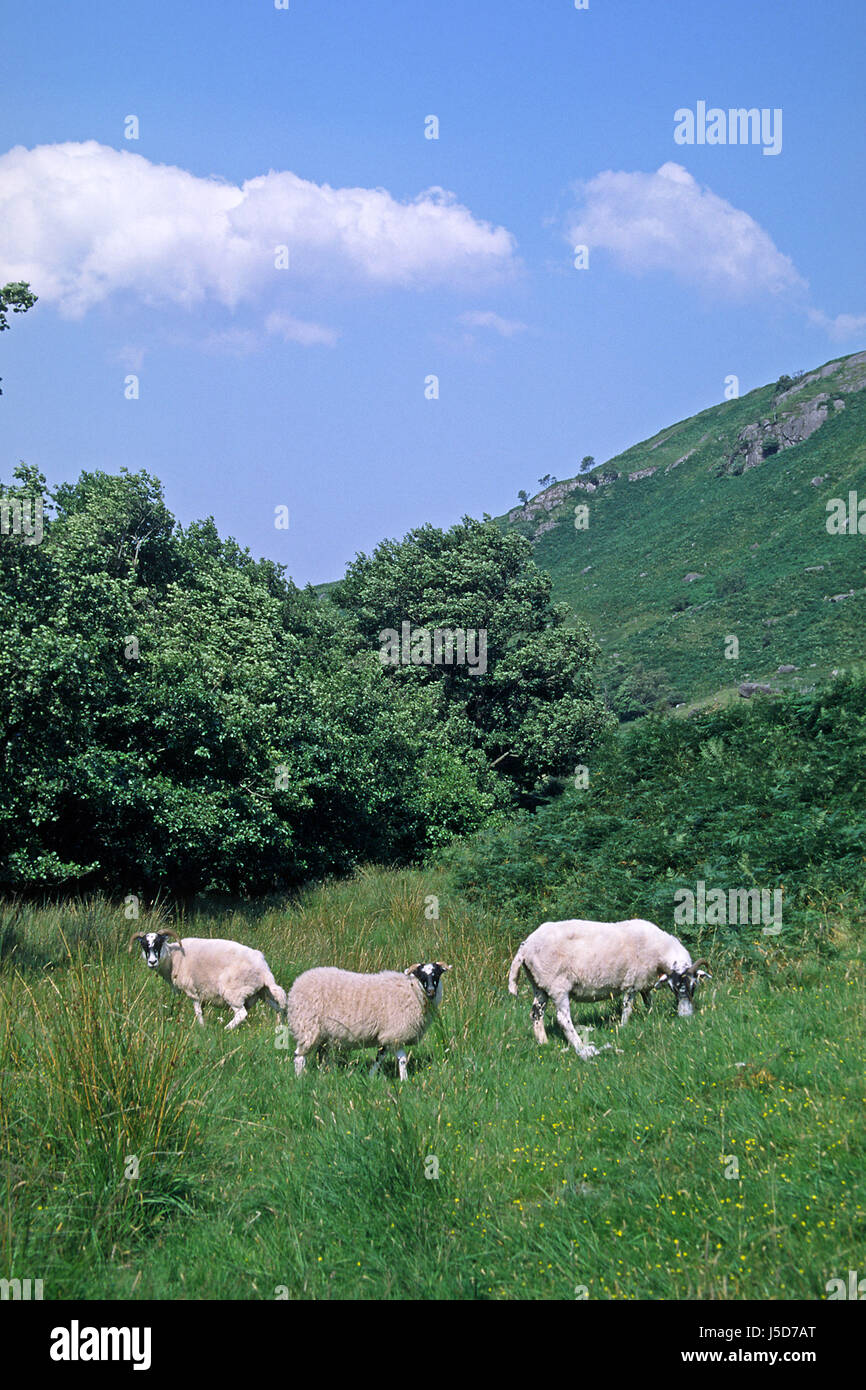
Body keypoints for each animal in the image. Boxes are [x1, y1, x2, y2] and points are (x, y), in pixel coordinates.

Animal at [129, 930, 287, 1030]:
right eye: (144, 945)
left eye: (158, 943)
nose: (152, 962)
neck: (173, 958)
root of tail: (264, 970)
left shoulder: (193, 992)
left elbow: (198, 1012)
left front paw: (201, 1028)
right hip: (264, 992)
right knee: (279, 1008)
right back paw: (279, 1027)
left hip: (233, 992)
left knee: (241, 1014)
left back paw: (226, 1029)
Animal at [287, 962, 451, 1079]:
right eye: (421, 975)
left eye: (436, 974)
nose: (431, 991)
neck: (411, 991)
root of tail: (297, 983)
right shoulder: (395, 1033)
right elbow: (401, 1059)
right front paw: (404, 1080)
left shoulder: (389, 1035)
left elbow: (381, 1057)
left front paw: (371, 1077)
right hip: (307, 1026)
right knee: (299, 1057)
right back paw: (300, 1079)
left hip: (323, 1033)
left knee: (321, 1055)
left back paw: (324, 1075)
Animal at [507, 918, 711, 1058]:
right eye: (674, 988)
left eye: (693, 985)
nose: (685, 1016)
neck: (659, 951)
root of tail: (525, 947)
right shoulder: (632, 982)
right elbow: (627, 1008)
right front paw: (624, 1027)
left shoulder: (644, 982)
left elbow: (648, 1001)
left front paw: (650, 1016)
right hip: (557, 986)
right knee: (563, 1019)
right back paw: (579, 1046)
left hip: (539, 985)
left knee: (536, 1014)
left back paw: (543, 1043)